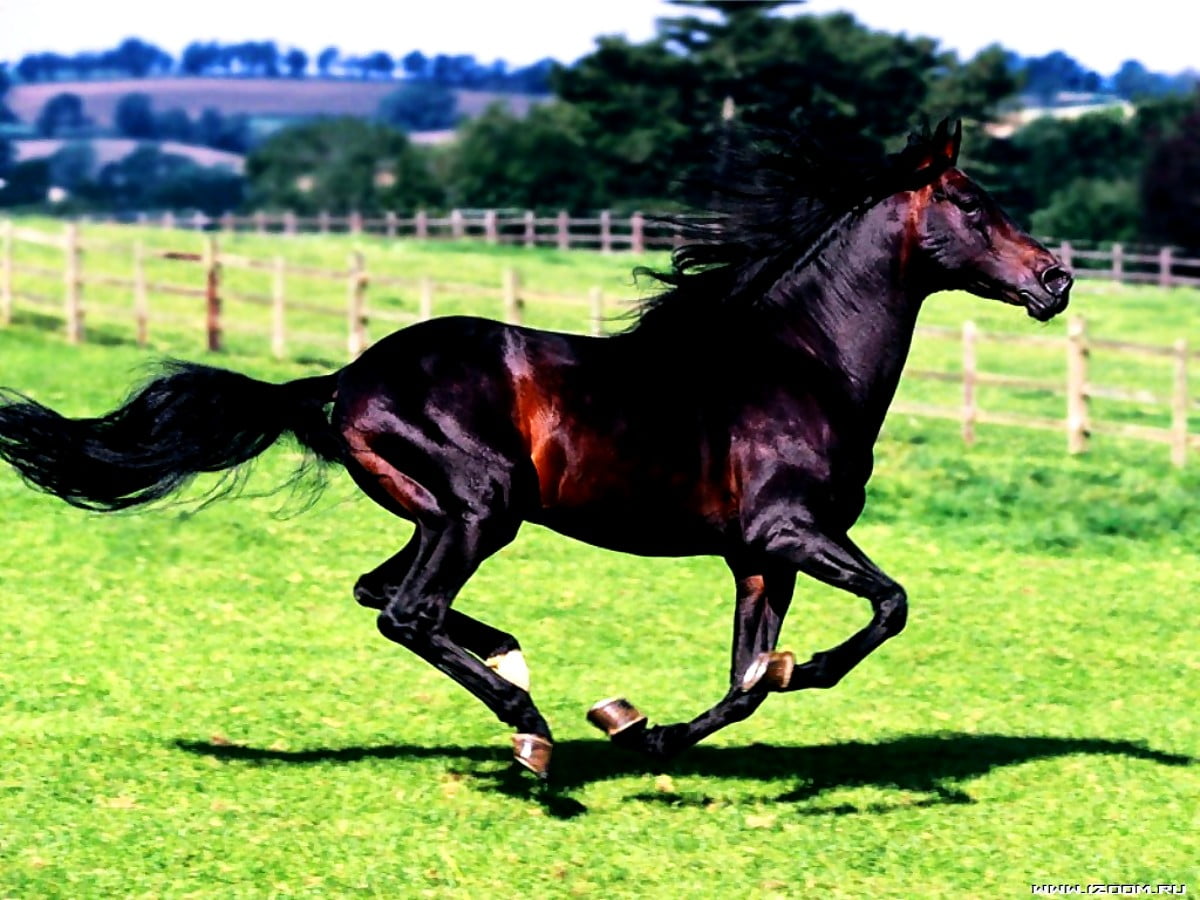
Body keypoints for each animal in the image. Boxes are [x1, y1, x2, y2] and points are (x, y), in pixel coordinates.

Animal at [0, 120, 1071, 780]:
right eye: (975, 207)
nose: (1056, 280)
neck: (803, 362)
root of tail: (347, 378)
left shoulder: (758, 557)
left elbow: (741, 684)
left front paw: (647, 730)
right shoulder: (789, 532)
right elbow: (885, 610)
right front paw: (782, 677)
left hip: (442, 513)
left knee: (381, 595)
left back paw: (522, 677)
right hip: (483, 506)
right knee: (409, 610)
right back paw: (530, 729)